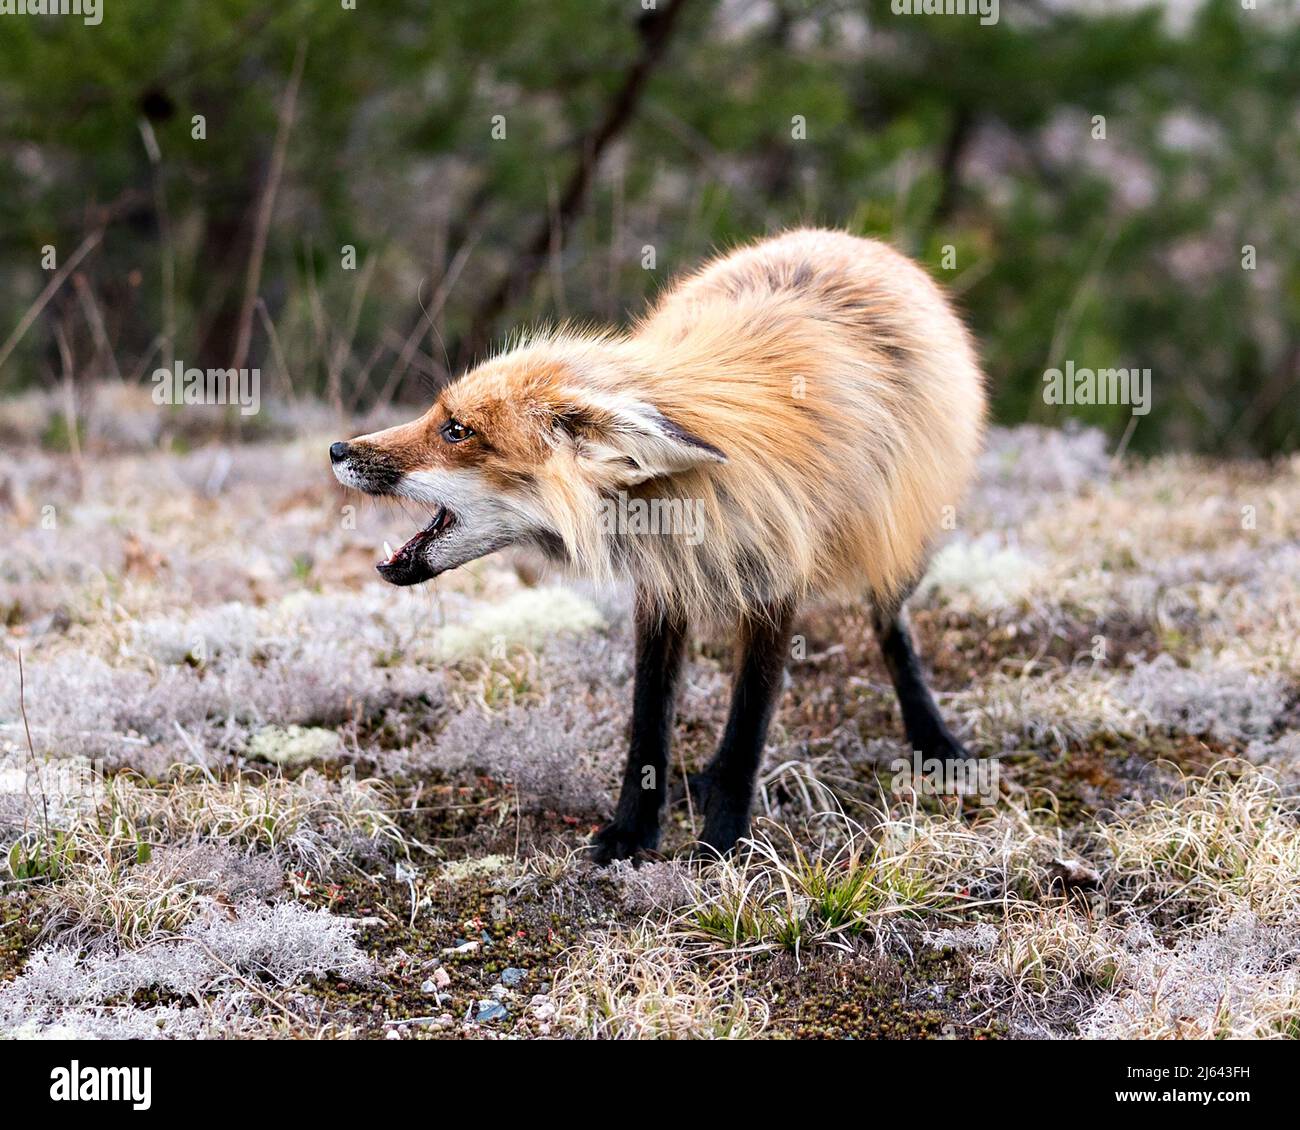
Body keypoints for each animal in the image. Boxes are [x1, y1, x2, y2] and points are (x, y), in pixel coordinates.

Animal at [331, 228, 986, 862]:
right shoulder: (664, 583)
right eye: (437, 415)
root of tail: (854, 240)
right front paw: (634, 832)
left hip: (901, 537)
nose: (337, 449)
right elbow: (650, 720)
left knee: (890, 625)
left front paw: (724, 845)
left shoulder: (777, 581)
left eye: (457, 430)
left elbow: (748, 726)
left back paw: (931, 736)